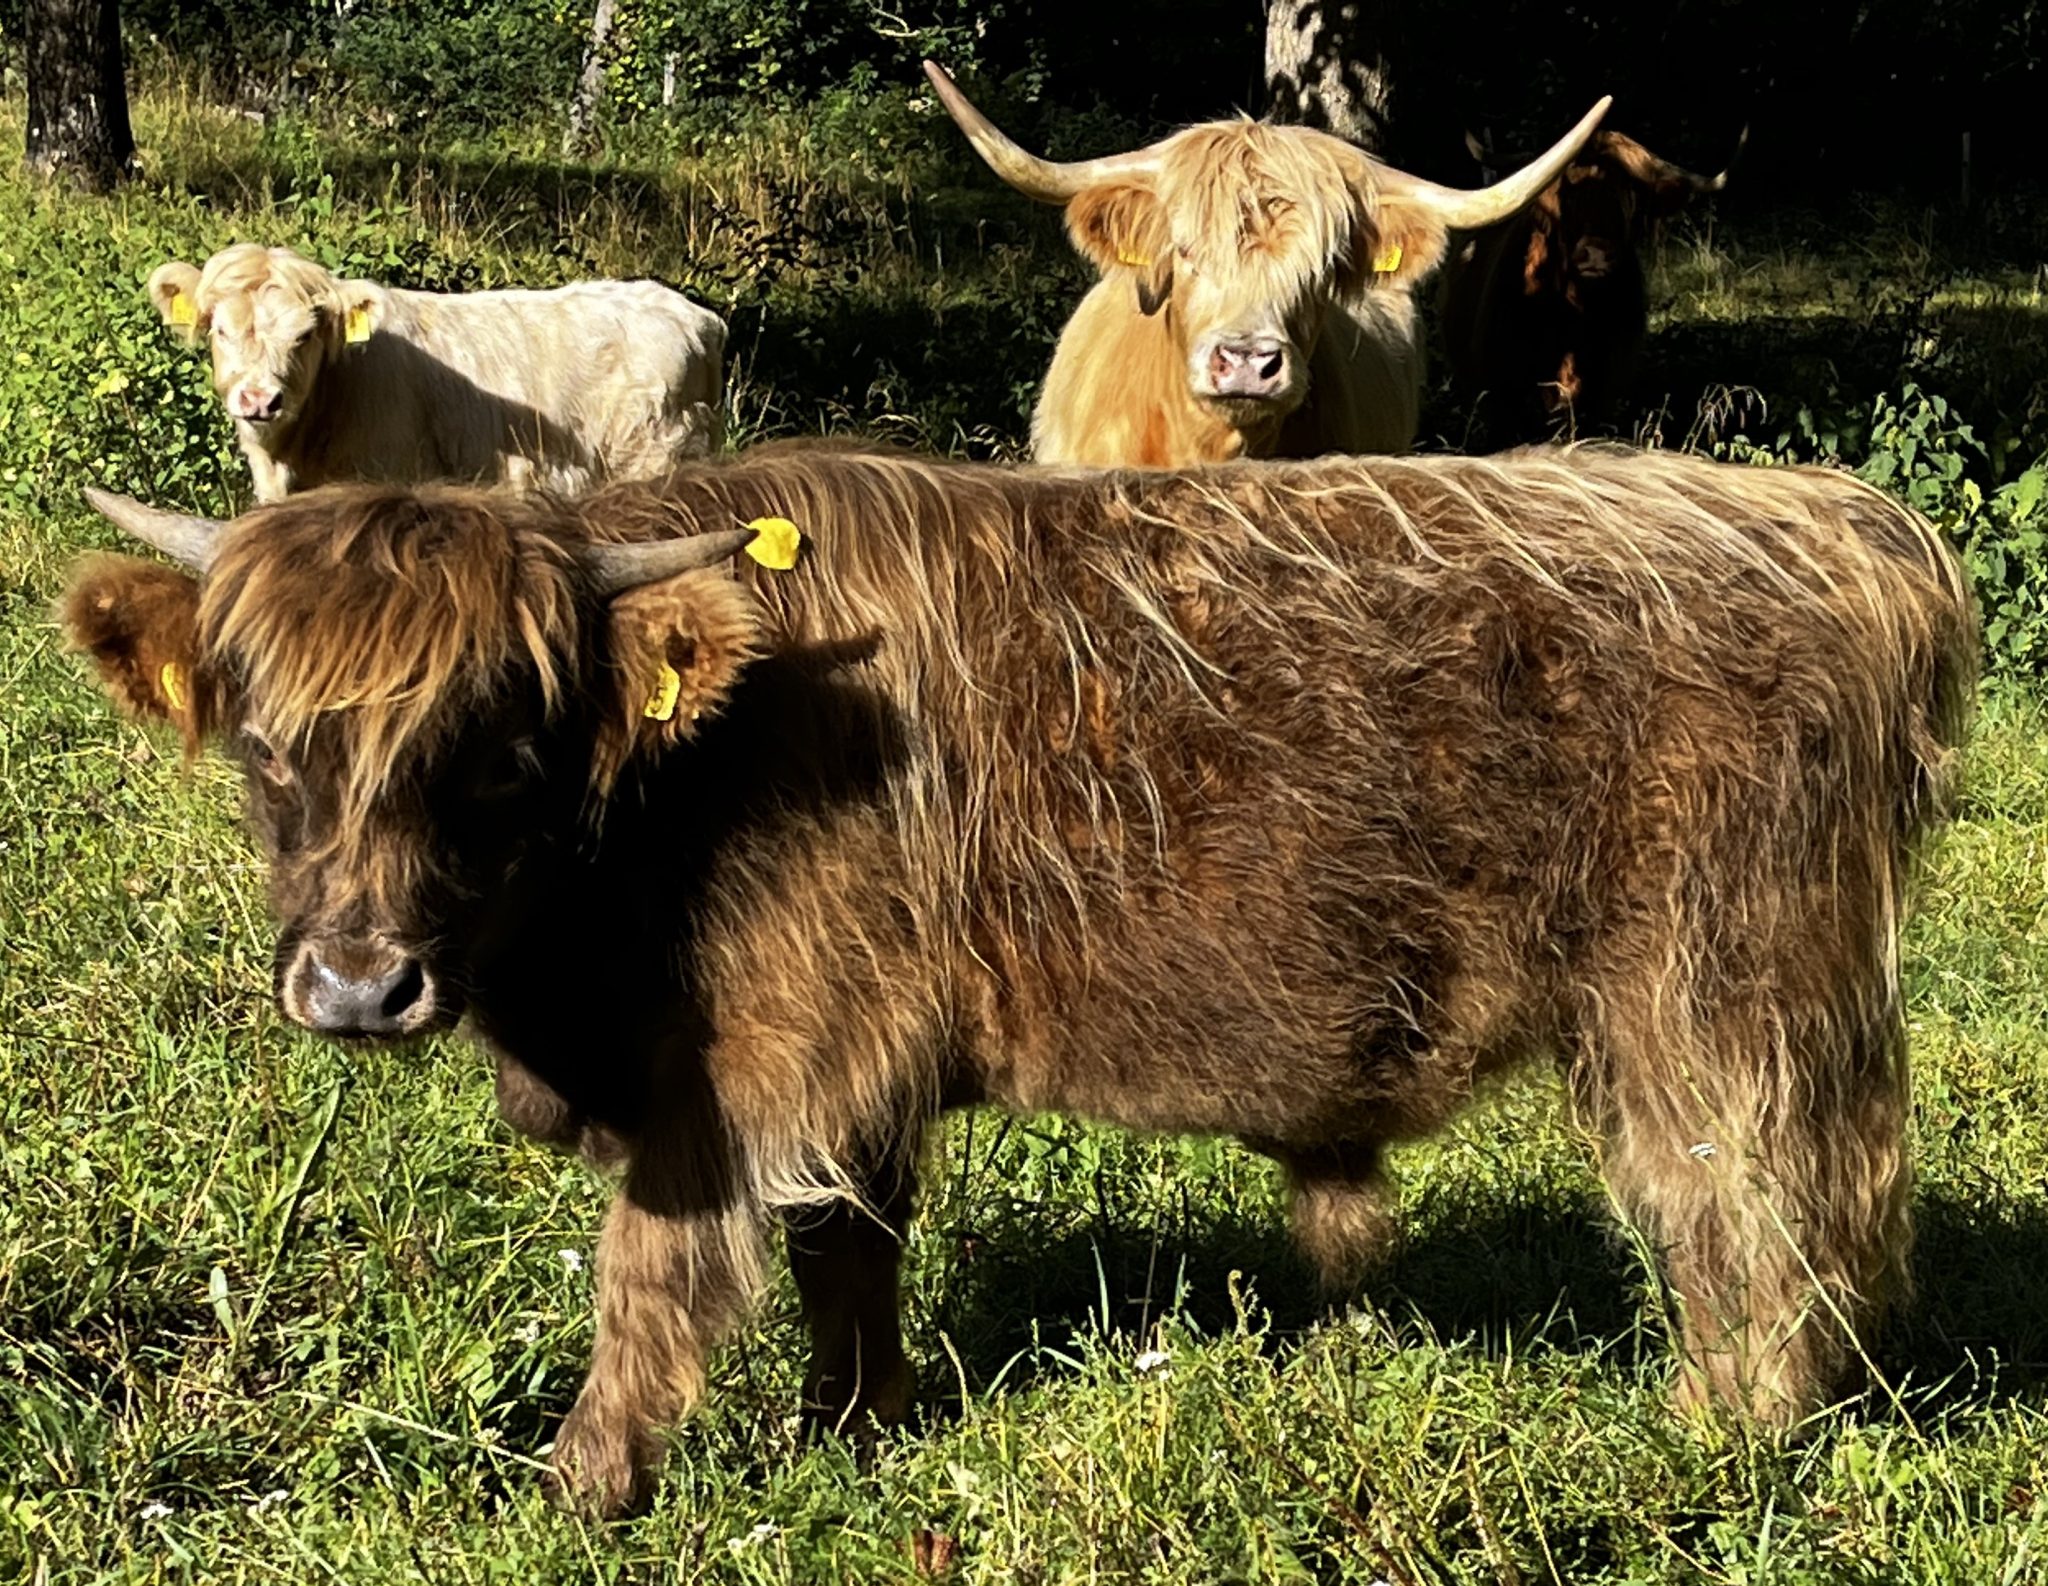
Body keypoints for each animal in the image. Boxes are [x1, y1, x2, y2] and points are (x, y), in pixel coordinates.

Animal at [67, 443, 1972, 1516]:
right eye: (265, 744)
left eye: (496, 748)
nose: (357, 986)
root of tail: (1837, 521)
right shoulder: (857, 1060)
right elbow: (847, 1248)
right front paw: (854, 1432)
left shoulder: (753, 1053)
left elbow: (654, 1272)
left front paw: (582, 1488)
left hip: (1710, 1002)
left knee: (1745, 1221)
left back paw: (1718, 1446)